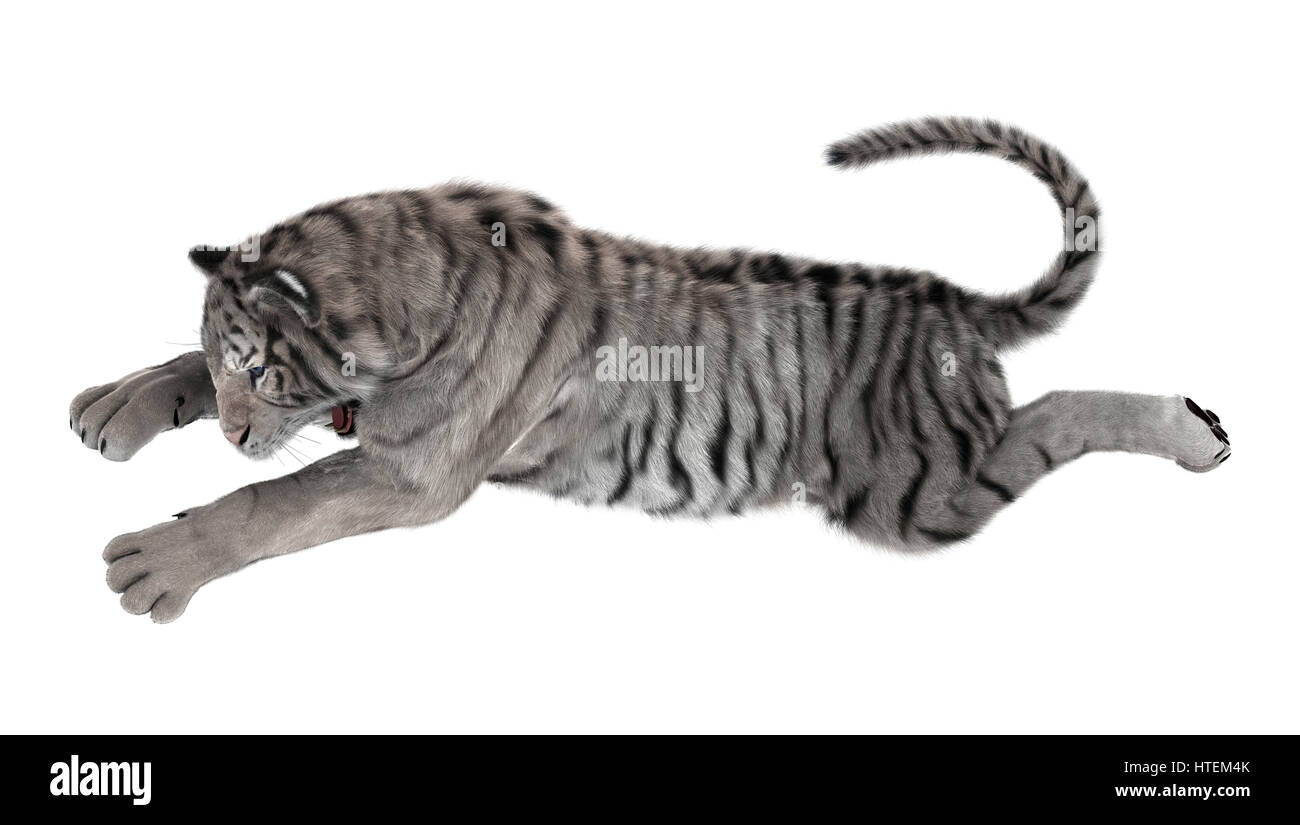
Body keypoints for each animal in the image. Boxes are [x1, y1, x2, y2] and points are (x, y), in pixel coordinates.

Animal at [69, 117, 1231, 623]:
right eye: (229, 370)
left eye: (264, 376)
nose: (230, 429)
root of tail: (949, 300)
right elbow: (190, 382)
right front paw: (114, 405)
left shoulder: (410, 471)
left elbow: (277, 500)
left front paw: (154, 564)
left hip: (914, 490)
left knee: (1056, 414)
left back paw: (1195, 427)